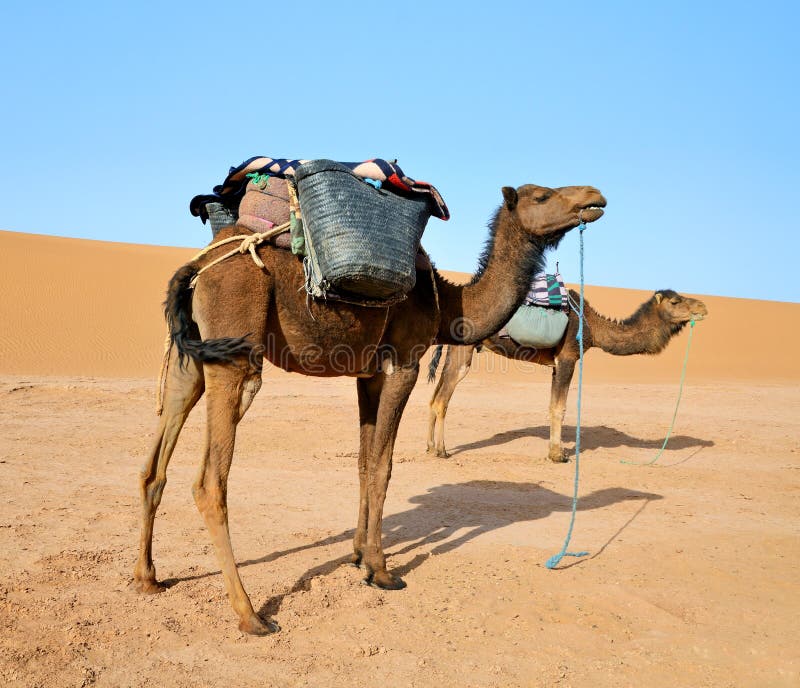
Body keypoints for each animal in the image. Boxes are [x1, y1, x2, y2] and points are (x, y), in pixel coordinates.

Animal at [132, 182, 606, 635]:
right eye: (543, 195)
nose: (594, 197)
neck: (446, 305)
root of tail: (196, 268)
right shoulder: (404, 364)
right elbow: (383, 467)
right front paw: (380, 570)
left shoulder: (368, 375)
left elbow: (363, 462)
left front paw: (358, 554)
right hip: (235, 351)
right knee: (210, 483)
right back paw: (251, 615)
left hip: (190, 360)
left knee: (154, 466)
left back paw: (147, 577)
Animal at [427, 289, 708, 461]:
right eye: (675, 302)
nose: (703, 306)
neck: (591, 326)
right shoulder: (568, 357)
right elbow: (559, 408)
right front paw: (558, 455)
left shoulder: (555, 365)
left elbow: (552, 405)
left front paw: (555, 451)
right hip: (464, 348)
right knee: (442, 399)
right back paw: (442, 451)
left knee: (434, 397)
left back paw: (429, 447)